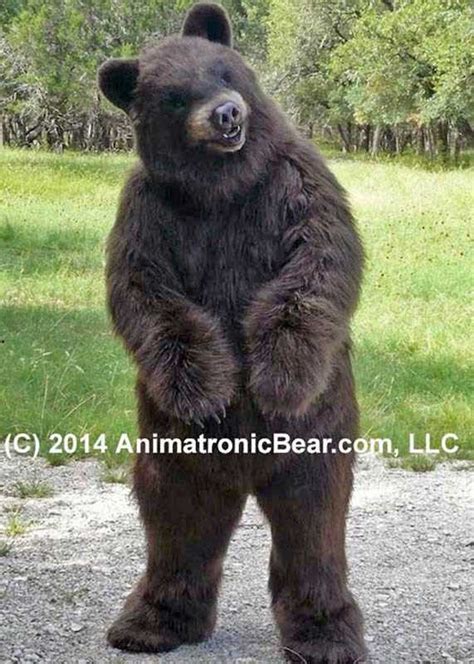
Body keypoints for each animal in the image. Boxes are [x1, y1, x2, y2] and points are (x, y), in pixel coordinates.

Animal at [98, 3, 366, 662]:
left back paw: (326, 634)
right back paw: (150, 622)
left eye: (223, 70)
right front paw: (209, 391)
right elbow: (147, 292)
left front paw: (275, 379)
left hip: (313, 435)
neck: (221, 186)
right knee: (177, 515)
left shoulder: (293, 182)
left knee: (313, 518)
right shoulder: (149, 211)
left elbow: (315, 265)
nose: (226, 113)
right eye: (174, 96)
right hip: (173, 443)